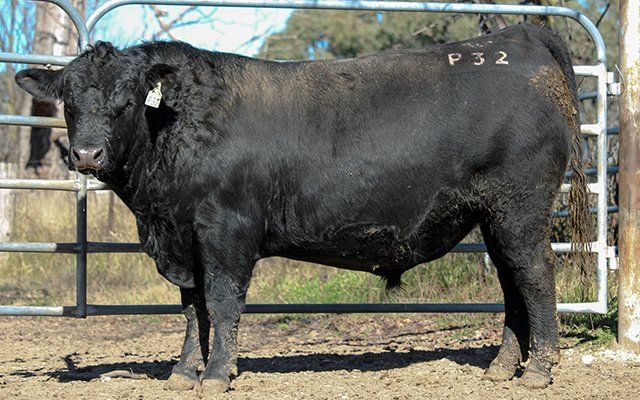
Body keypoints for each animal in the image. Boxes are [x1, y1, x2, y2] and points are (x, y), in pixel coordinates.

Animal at [15, 23, 589, 394]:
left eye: (127, 101)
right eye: (69, 101)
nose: (86, 154)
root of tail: (518, 37)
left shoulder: (226, 230)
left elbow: (222, 302)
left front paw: (217, 376)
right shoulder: (182, 238)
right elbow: (191, 307)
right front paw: (181, 374)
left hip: (520, 208)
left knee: (536, 277)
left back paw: (539, 371)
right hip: (494, 217)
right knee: (513, 286)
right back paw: (503, 368)